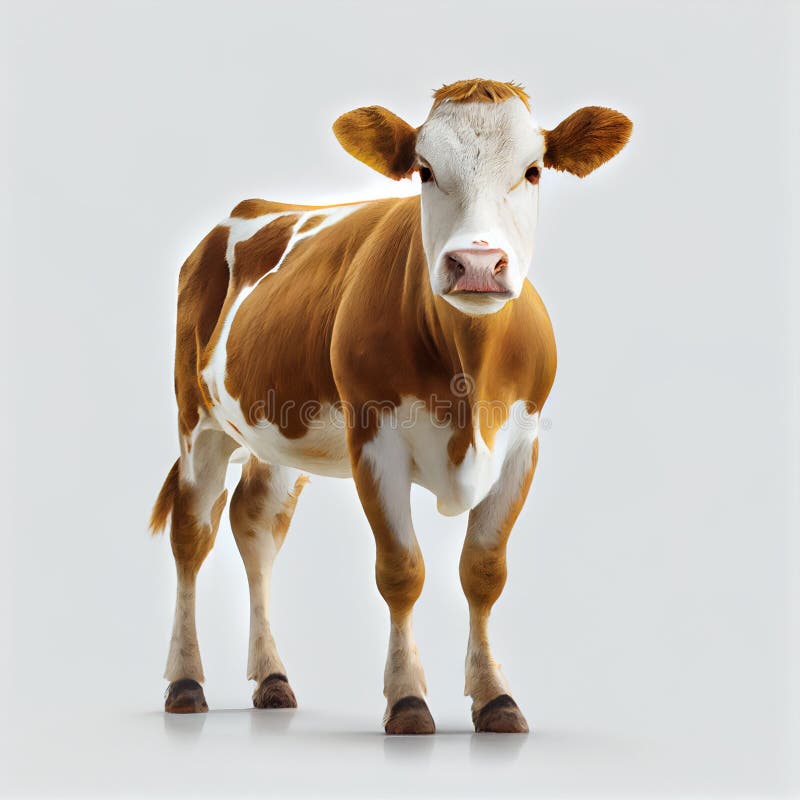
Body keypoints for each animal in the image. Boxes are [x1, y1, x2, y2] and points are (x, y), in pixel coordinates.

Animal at [150, 78, 632, 734]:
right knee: (190, 534)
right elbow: (402, 571)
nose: (476, 264)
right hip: (195, 419)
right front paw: (407, 699)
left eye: (533, 170)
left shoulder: (522, 445)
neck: (469, 382)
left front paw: (495, 697)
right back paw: (185, 682)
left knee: (255, 526)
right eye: (424, 170)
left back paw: (273, 678)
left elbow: (484, 571)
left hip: (277, 431)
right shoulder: (375, 443)